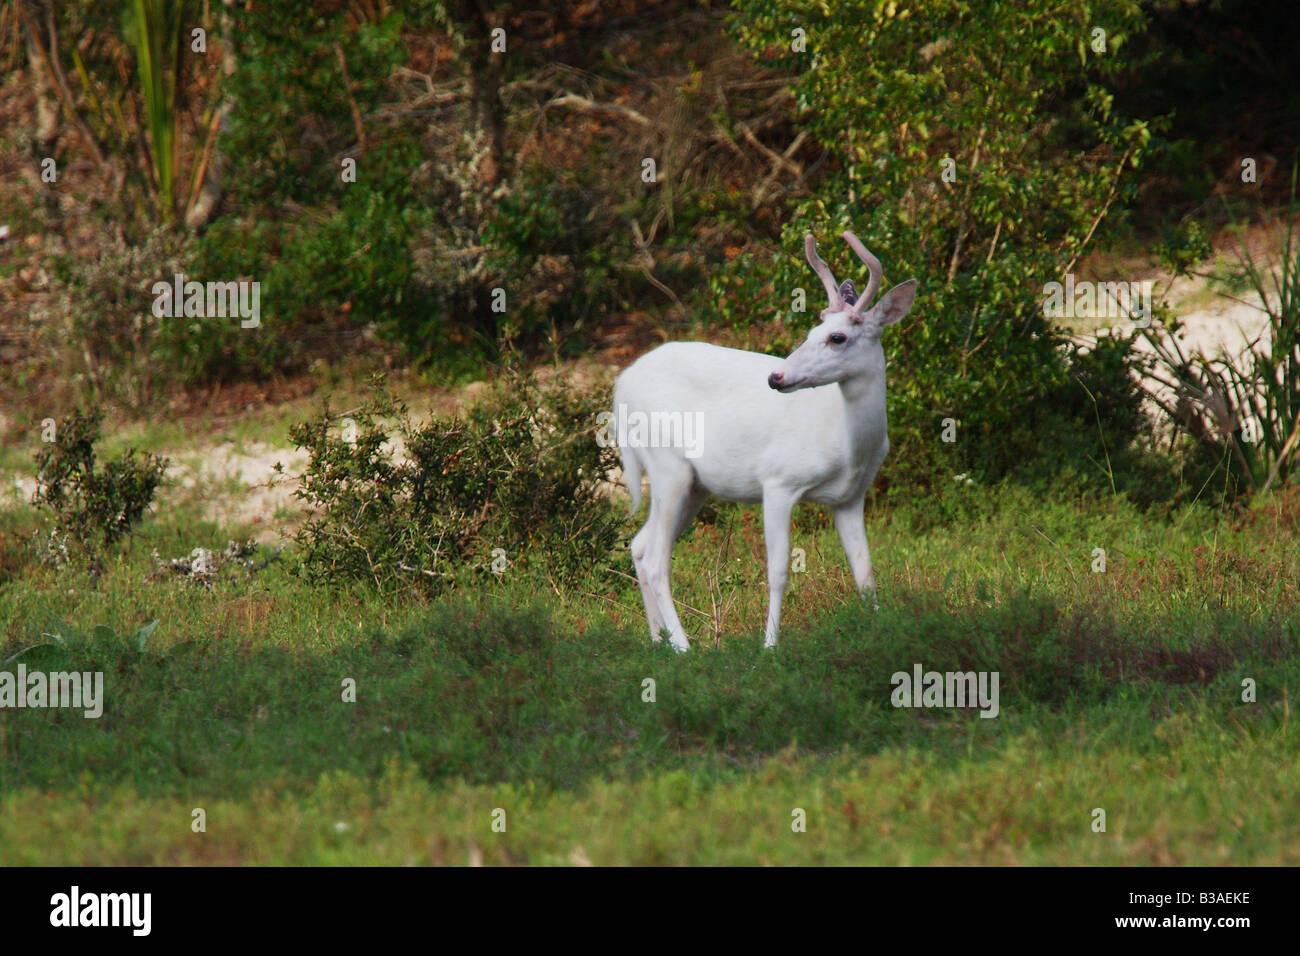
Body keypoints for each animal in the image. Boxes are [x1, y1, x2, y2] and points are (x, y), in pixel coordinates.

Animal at [614, 231, 918, 651]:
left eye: (837, 337)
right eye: (809, 333)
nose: (776, 377)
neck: (848, 444)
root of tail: (620, 386)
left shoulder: (850, 497)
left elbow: (865, 572)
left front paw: (880, 627)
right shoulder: (778, 481)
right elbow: (778, 571)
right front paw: (770, 645)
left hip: (694, 486)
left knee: (640, 546)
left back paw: (660, 640)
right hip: (666, 467)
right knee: (657, 558)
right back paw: (685, 646)